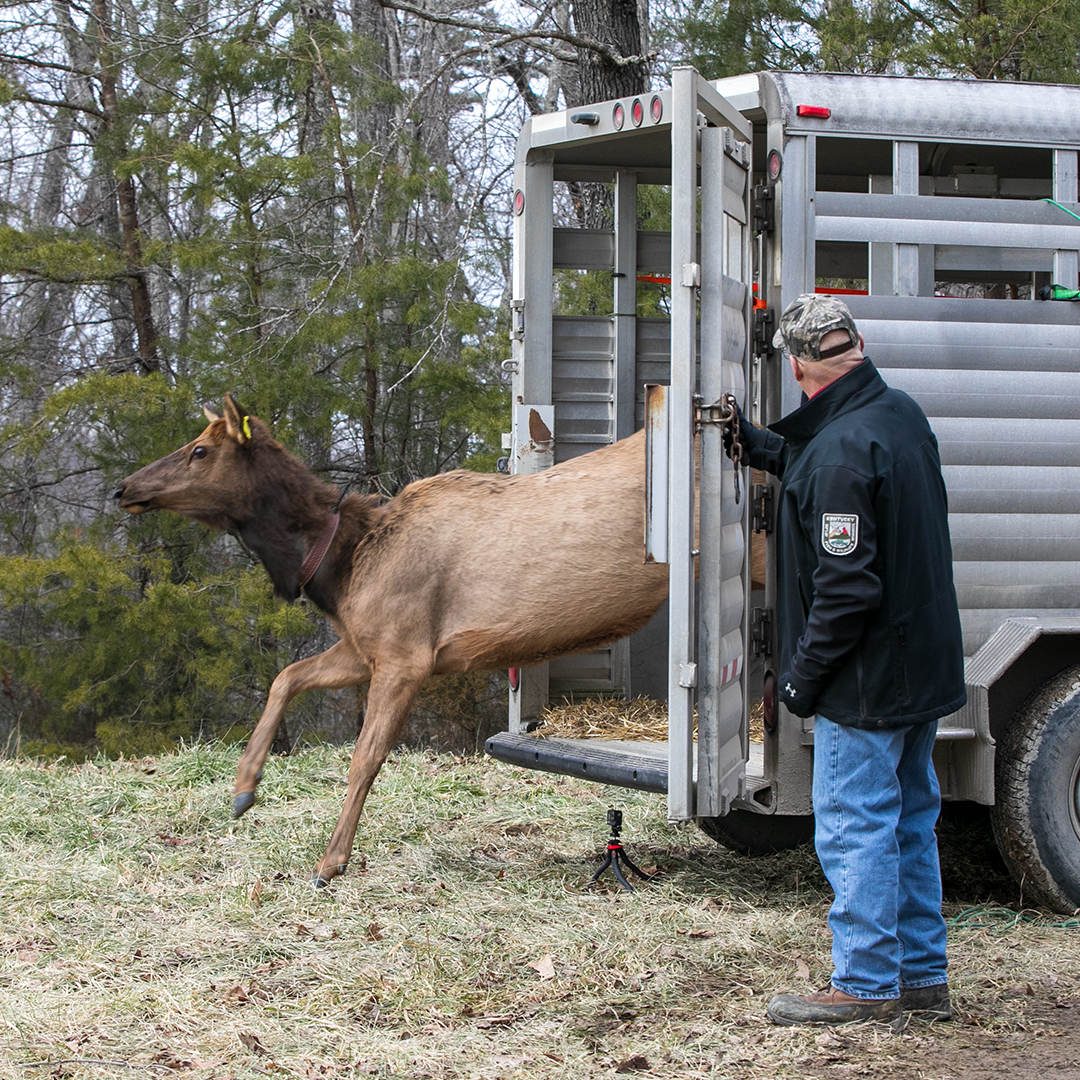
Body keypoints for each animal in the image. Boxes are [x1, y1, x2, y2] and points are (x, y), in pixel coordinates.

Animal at [113, 394, 671, 886]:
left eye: (200, 450)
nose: (122, 488)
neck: (336, 569)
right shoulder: (368, 647)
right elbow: (285, 677)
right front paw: (244, 787)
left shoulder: (406, 654)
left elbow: (365, 756)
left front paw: (330, 862)